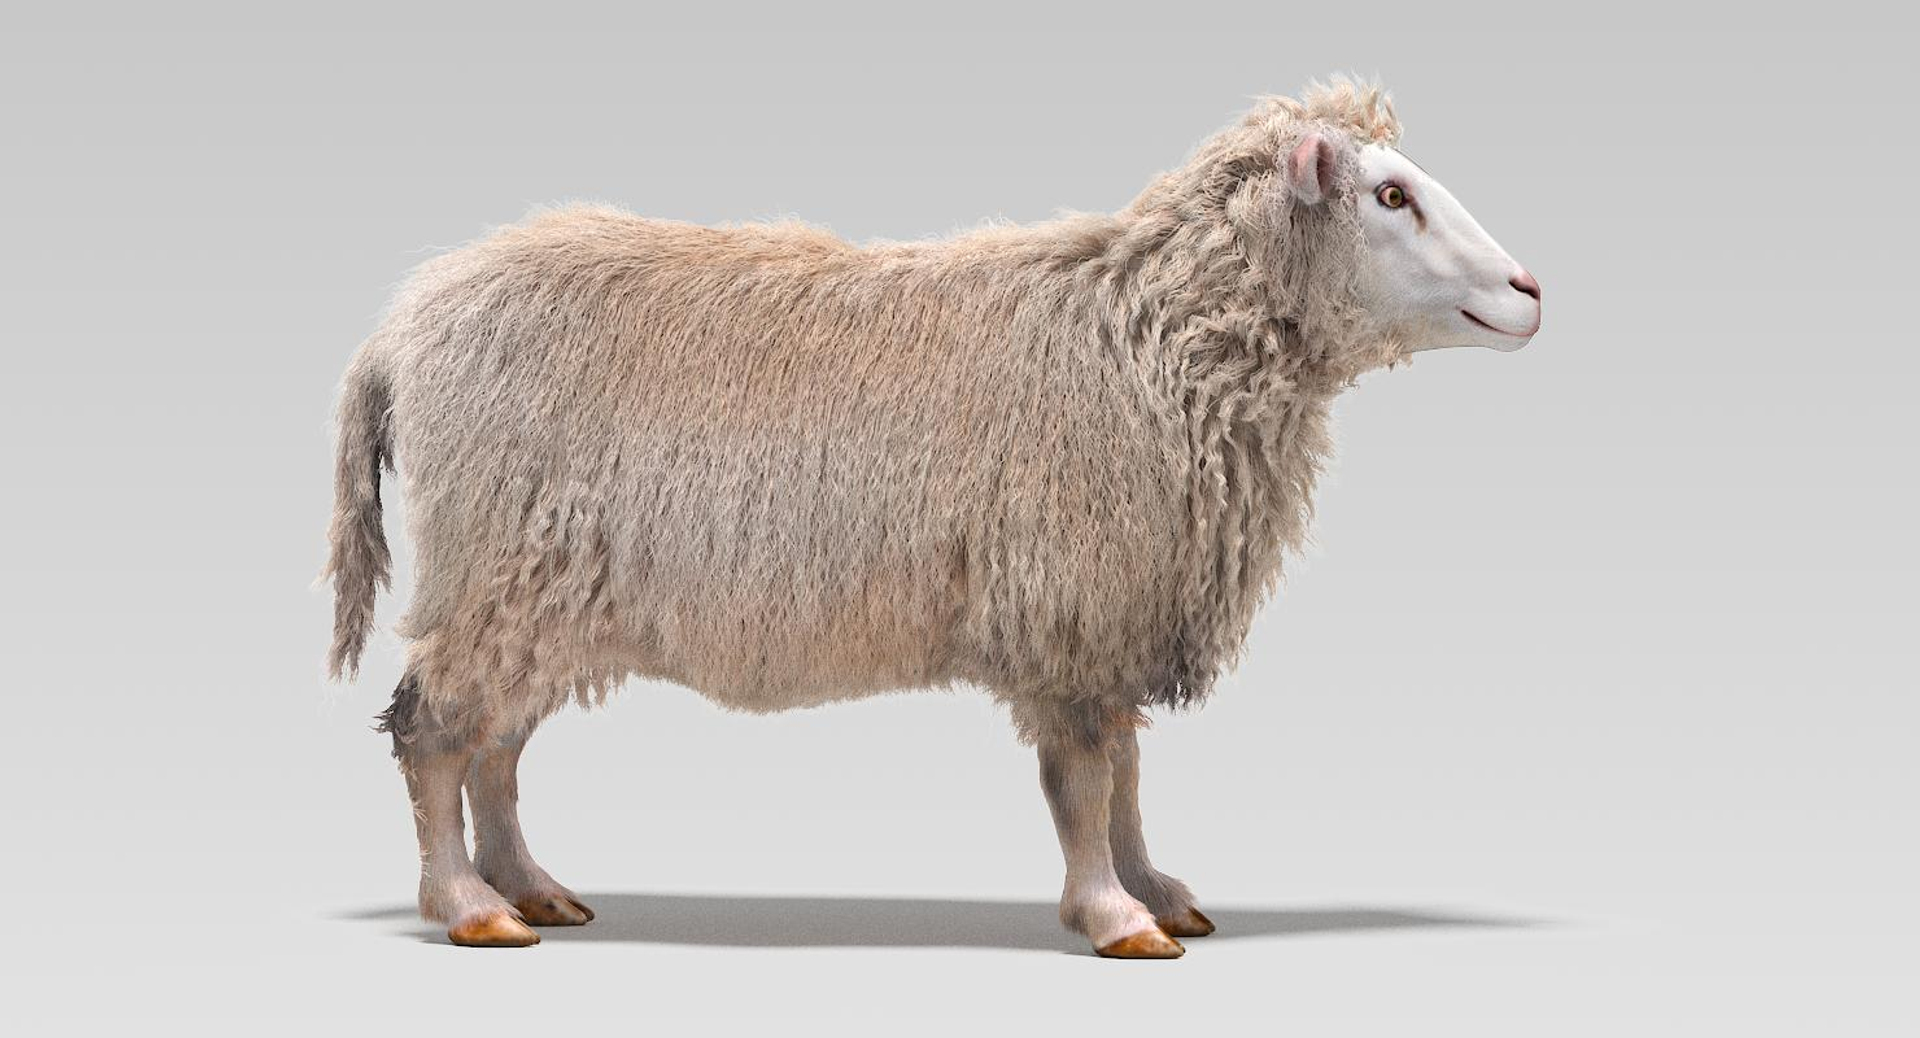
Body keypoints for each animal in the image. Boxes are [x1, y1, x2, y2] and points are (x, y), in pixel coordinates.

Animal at [324, 79, 1541, 956]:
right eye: (1390, 197)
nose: (1530, 291)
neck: (1151, 337)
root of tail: (399, 331)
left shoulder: (1115, 602)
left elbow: (1127, 778)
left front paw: (1158, 890)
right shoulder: (1074, 599)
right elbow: (1084, 781)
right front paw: (1116, 918)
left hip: (543, 592)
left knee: (494, 747)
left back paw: (530, 889)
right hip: (497, 573)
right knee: (432, 734)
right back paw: (467, 906)